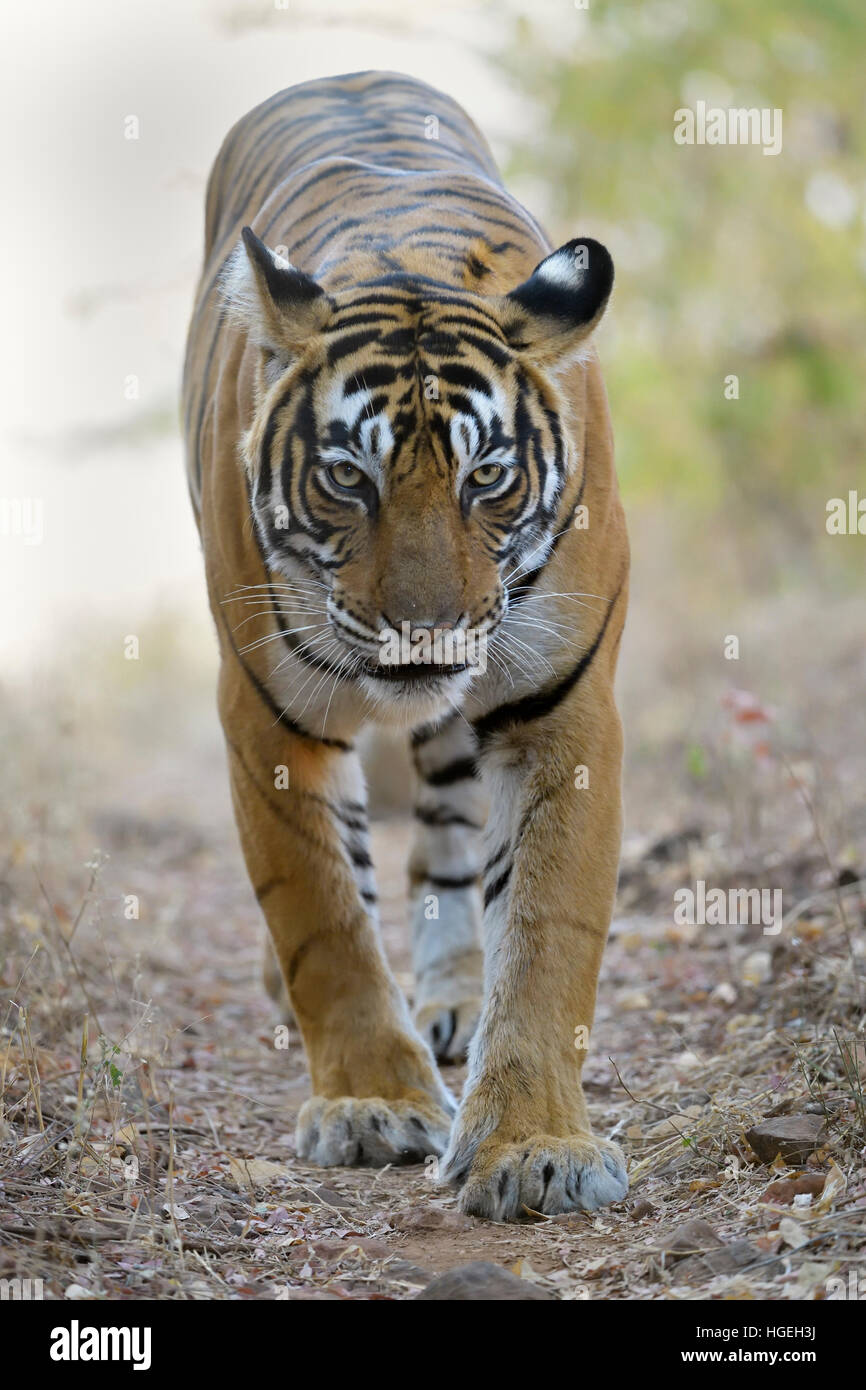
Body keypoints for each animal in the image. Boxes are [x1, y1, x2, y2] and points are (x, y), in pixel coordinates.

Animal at [182, 70, 629, 1220]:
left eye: (488, 476)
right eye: (349, 477)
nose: (423, 632)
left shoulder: (560, 708)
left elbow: (548, 930)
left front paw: (534, 1145)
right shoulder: (267, 717)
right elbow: (323, 919)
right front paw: (371, 1107)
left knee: (444, 835)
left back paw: (452, 998)